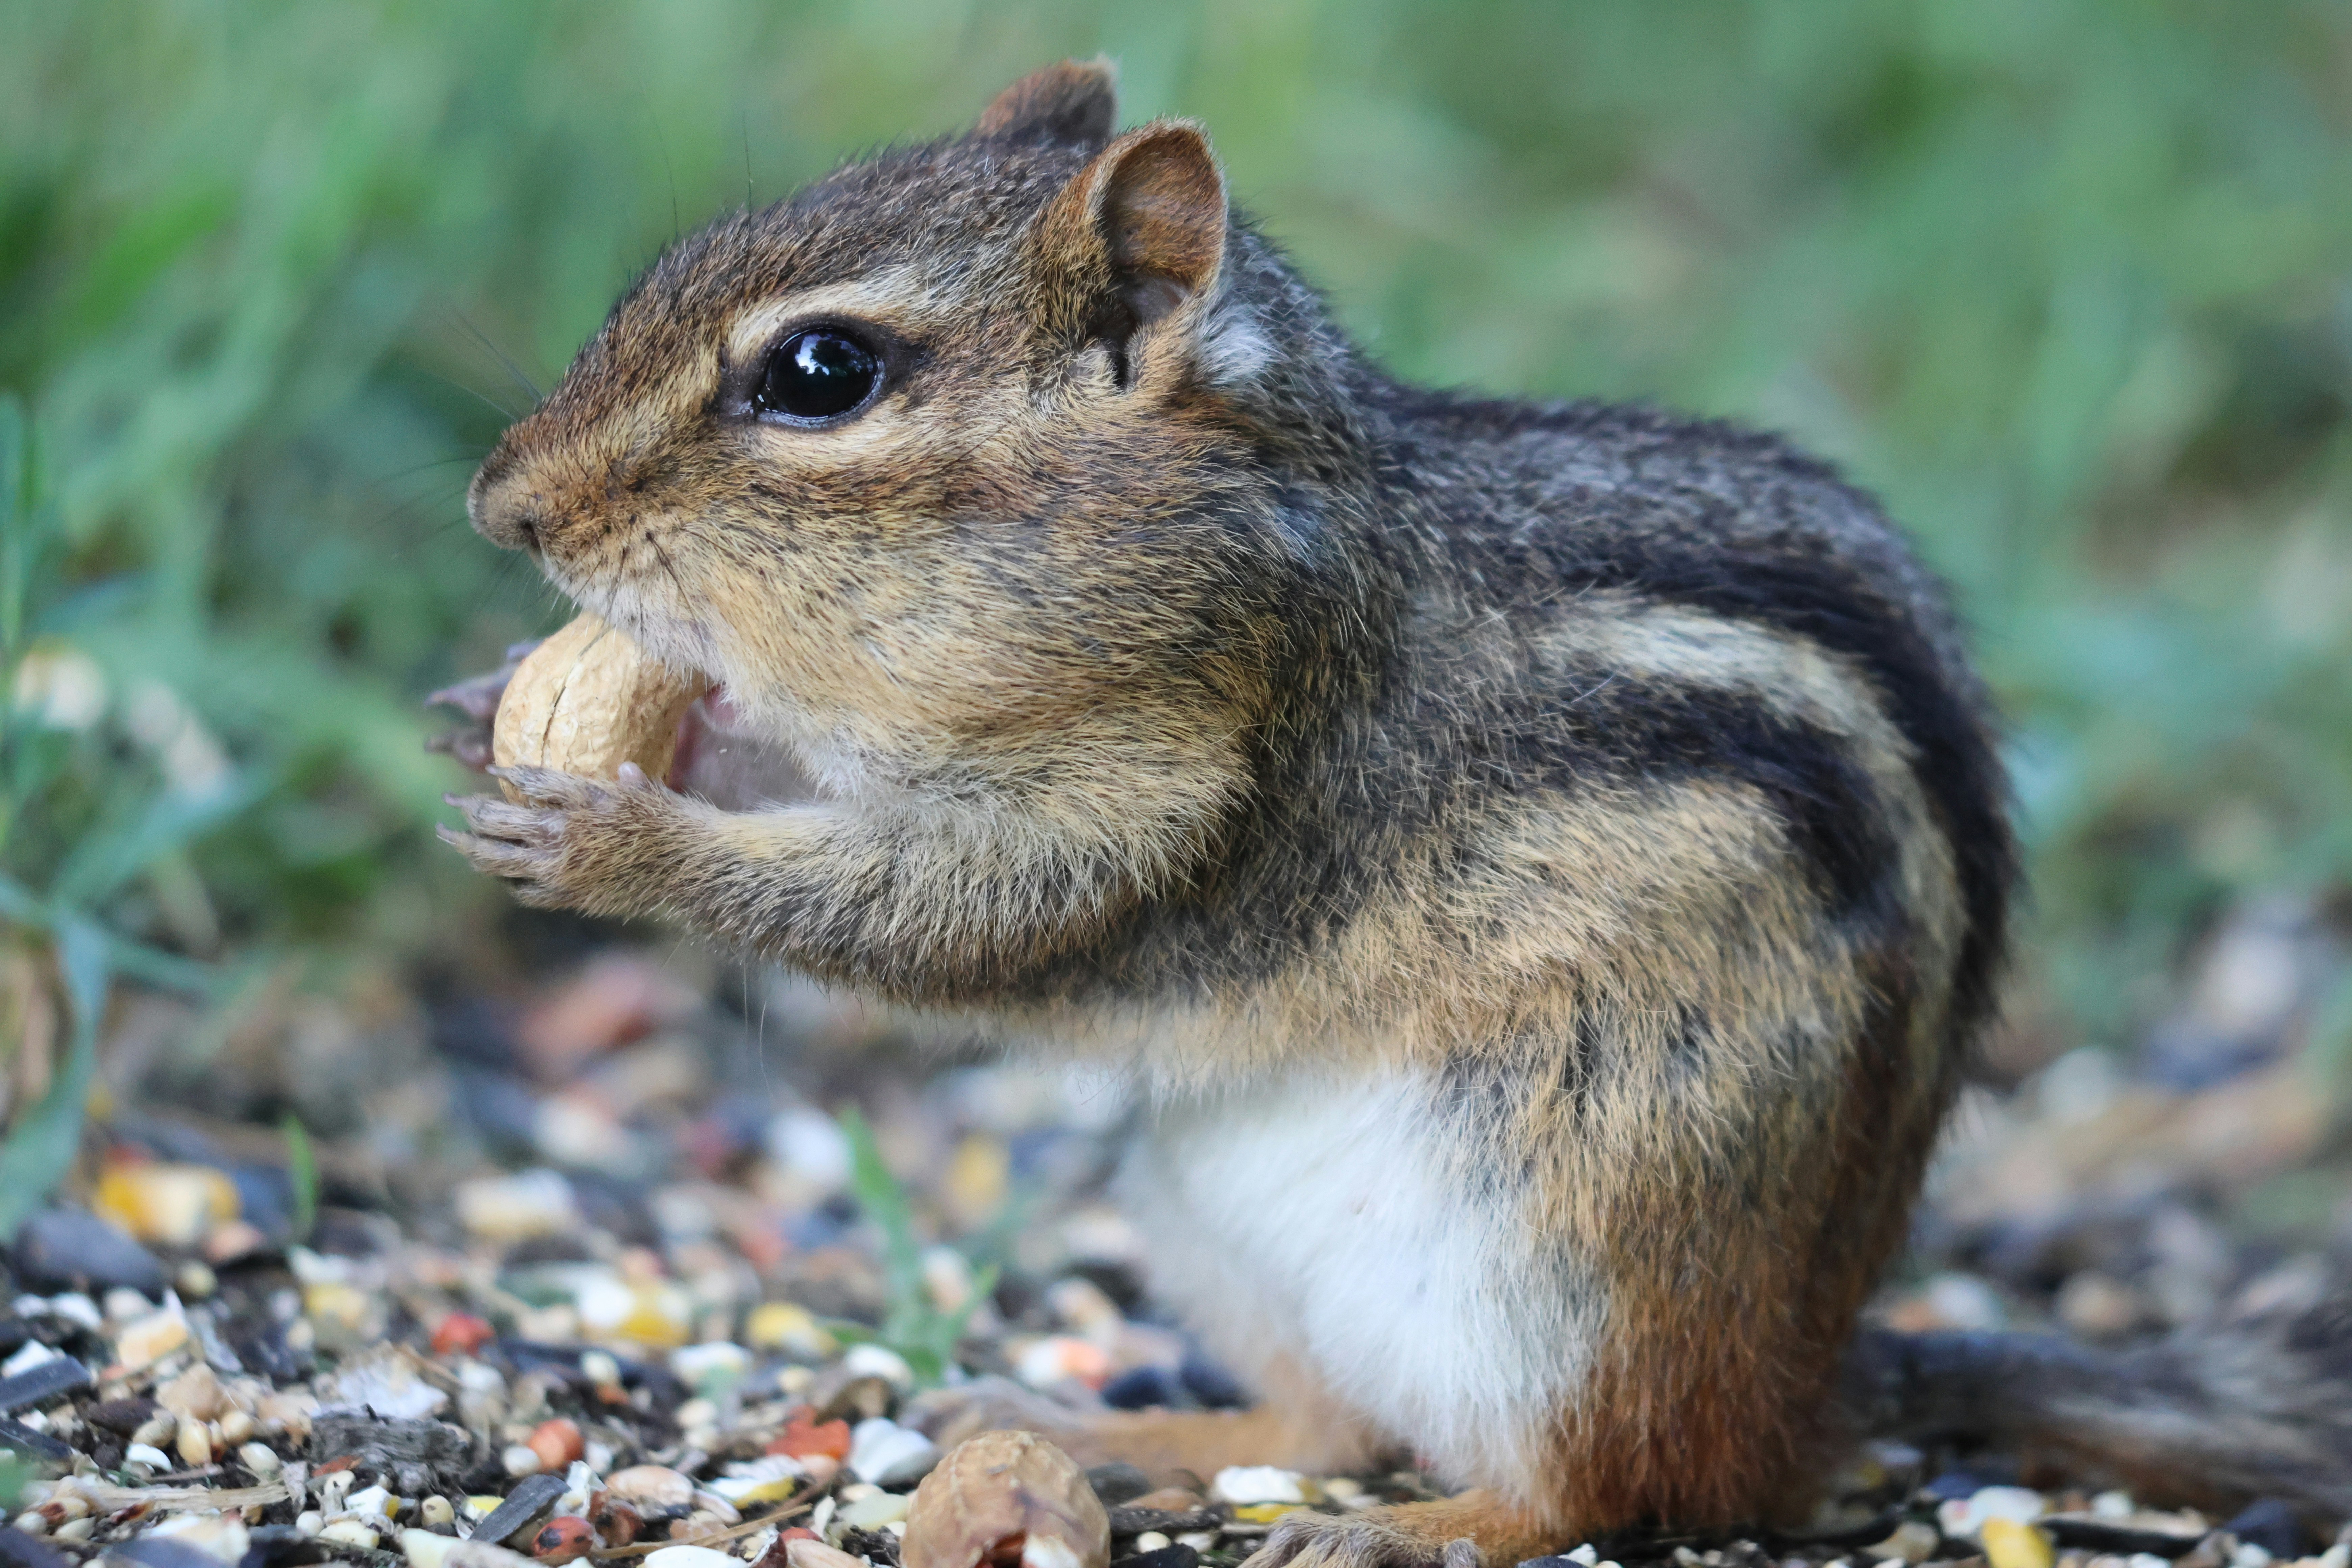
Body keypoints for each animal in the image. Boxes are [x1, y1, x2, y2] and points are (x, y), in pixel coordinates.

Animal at [439, 60, 2352, 1565]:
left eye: (822, 372)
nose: (498, 503)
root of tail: (1810, 1383)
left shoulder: (1197, 791)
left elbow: (963, 919)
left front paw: (615, 839)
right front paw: (493, 710)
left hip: (1565, 1255)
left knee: (1606, 1484)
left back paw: (1416, 1529)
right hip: (1210, 1211)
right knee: (1332, 1416)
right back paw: (1142, 1434)